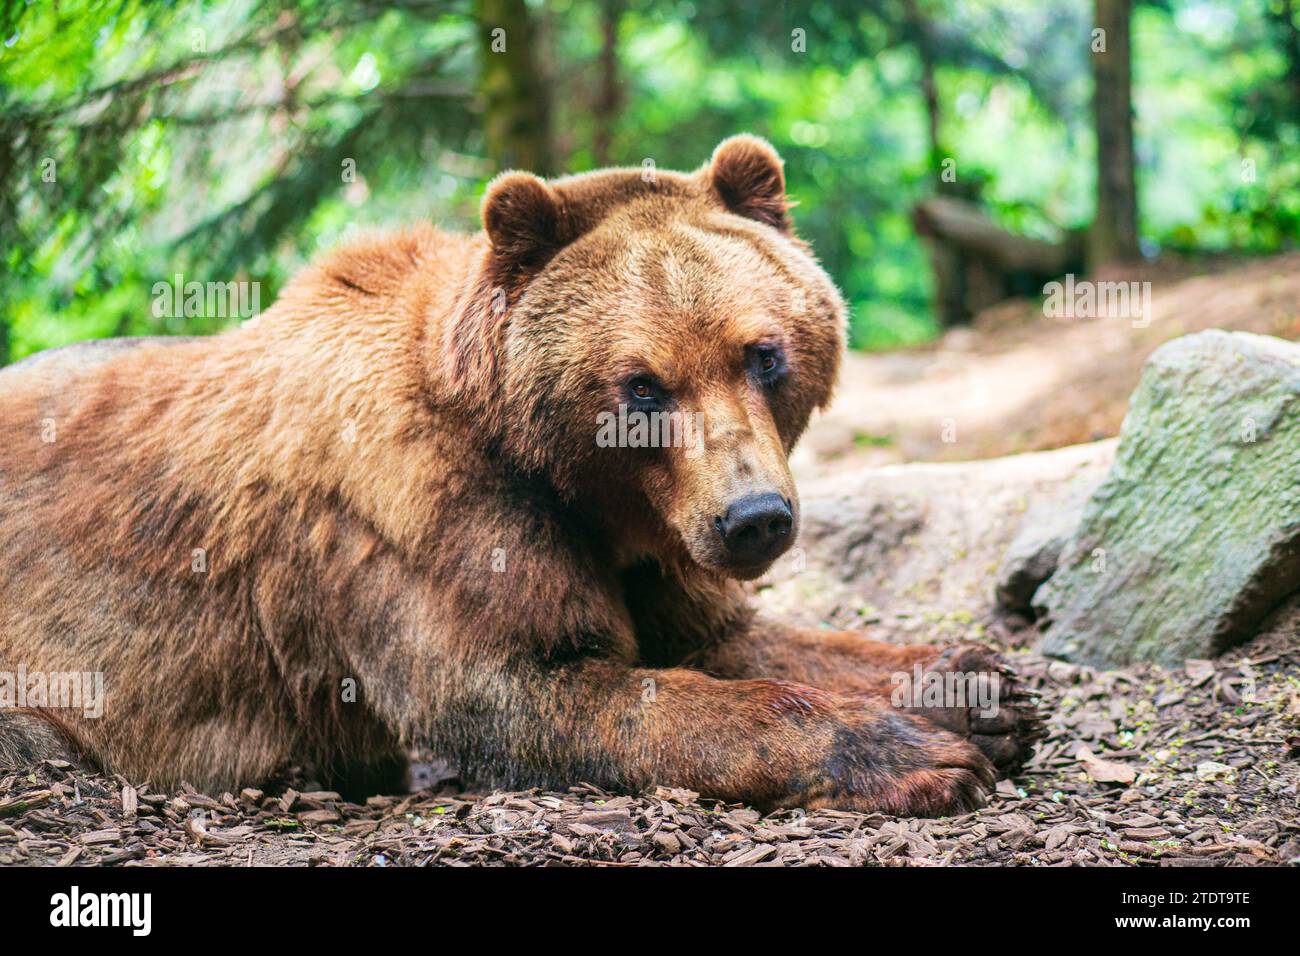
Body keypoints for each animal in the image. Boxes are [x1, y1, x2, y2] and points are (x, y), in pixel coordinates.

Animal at [0, 136, 1042, 814]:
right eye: (642, 383)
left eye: (763, 353)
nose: (754, 518)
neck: (582, 489)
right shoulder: (424, 523)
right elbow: (534, 687)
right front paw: (922, 755)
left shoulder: (654, 541)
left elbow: (729, 636)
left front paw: (974, 687)